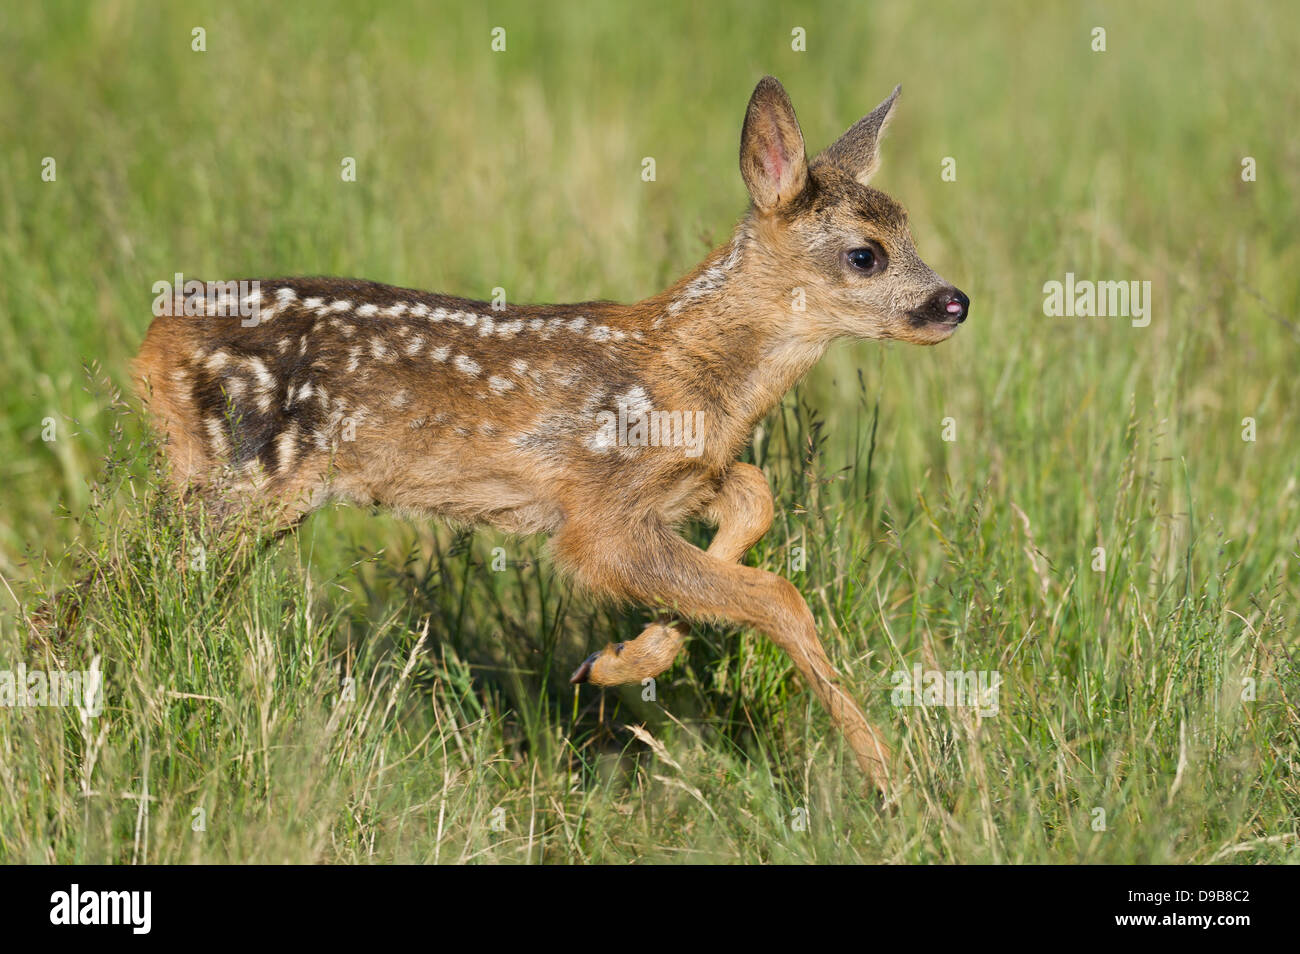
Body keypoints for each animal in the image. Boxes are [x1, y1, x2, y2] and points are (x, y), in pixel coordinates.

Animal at [131, 76, 968, 793]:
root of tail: (154, 336)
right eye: (866, 254)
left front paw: (618, 658)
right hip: (244, 478)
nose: (954, 302)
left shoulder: (674, 485)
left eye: (911, 232)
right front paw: (890, 780)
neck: (692, 372)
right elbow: (775, 593)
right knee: (145, 577)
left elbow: (754, 499)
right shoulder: (598, 511)